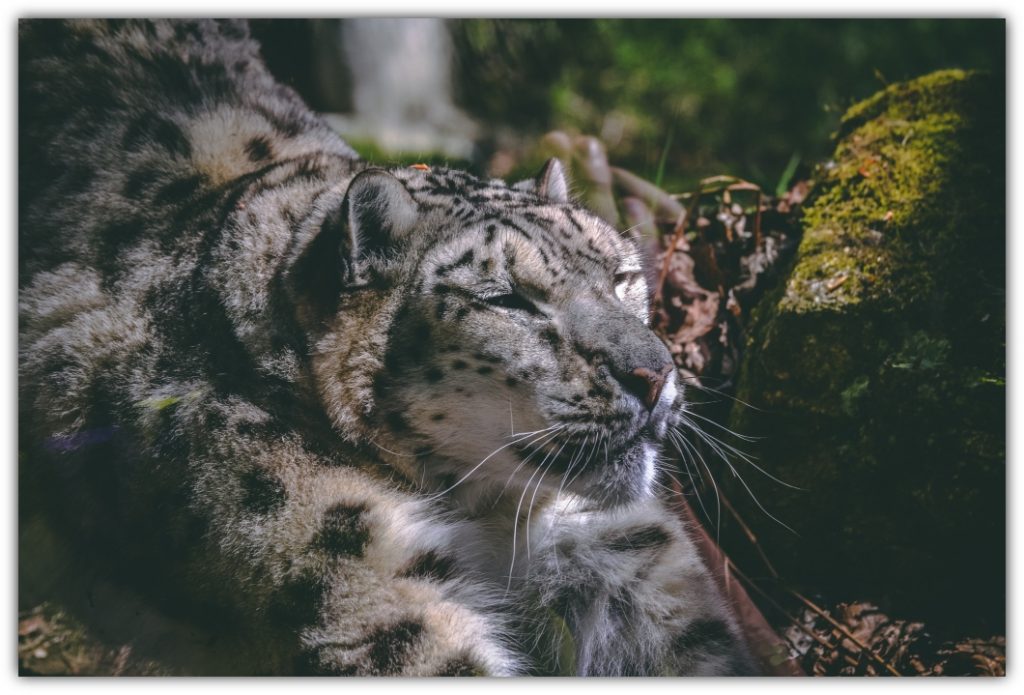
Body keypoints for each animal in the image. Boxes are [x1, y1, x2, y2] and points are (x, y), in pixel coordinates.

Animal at [18, 18, 756, 676]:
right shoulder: (352, 569)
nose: (654, 374)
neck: (492, 516)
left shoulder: (620, 553)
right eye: (507, 300)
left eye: (623, 276)